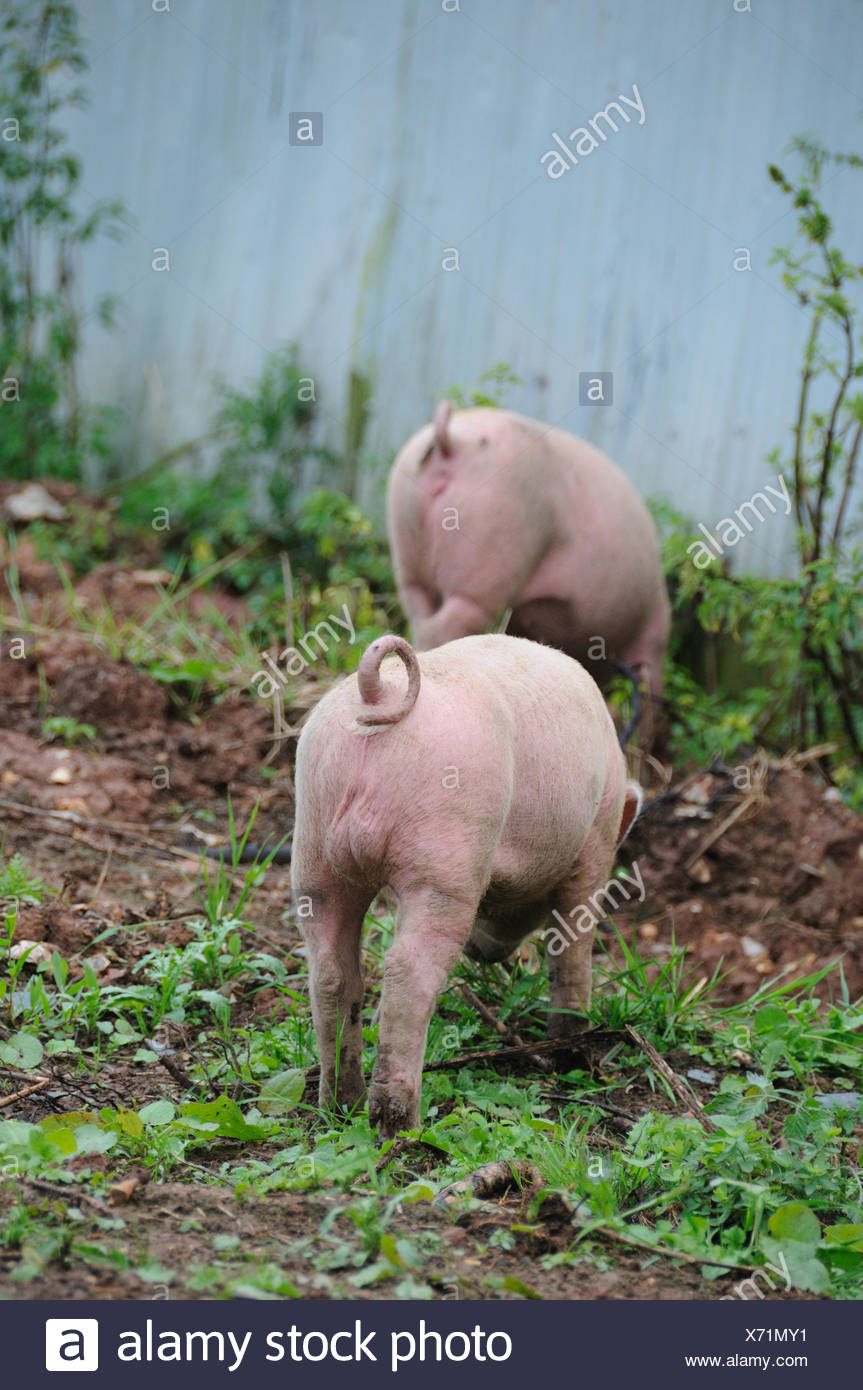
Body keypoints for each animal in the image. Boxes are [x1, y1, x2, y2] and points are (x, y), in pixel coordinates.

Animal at [291, 631, 642, 1138]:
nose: (482, 950)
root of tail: (378, 692)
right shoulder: (592, 847)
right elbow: (571, 949)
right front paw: (571, 1051)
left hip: (314, 848)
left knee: (331, 973)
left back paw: (340, 1107)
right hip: (445, 857)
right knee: (407, 970)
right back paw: (400, 1125)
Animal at [386, 402, 671, 714]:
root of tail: (449, 439)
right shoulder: (652, 636)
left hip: (408, 556)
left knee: (420, 620)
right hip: (488, 561)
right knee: (447, 625)